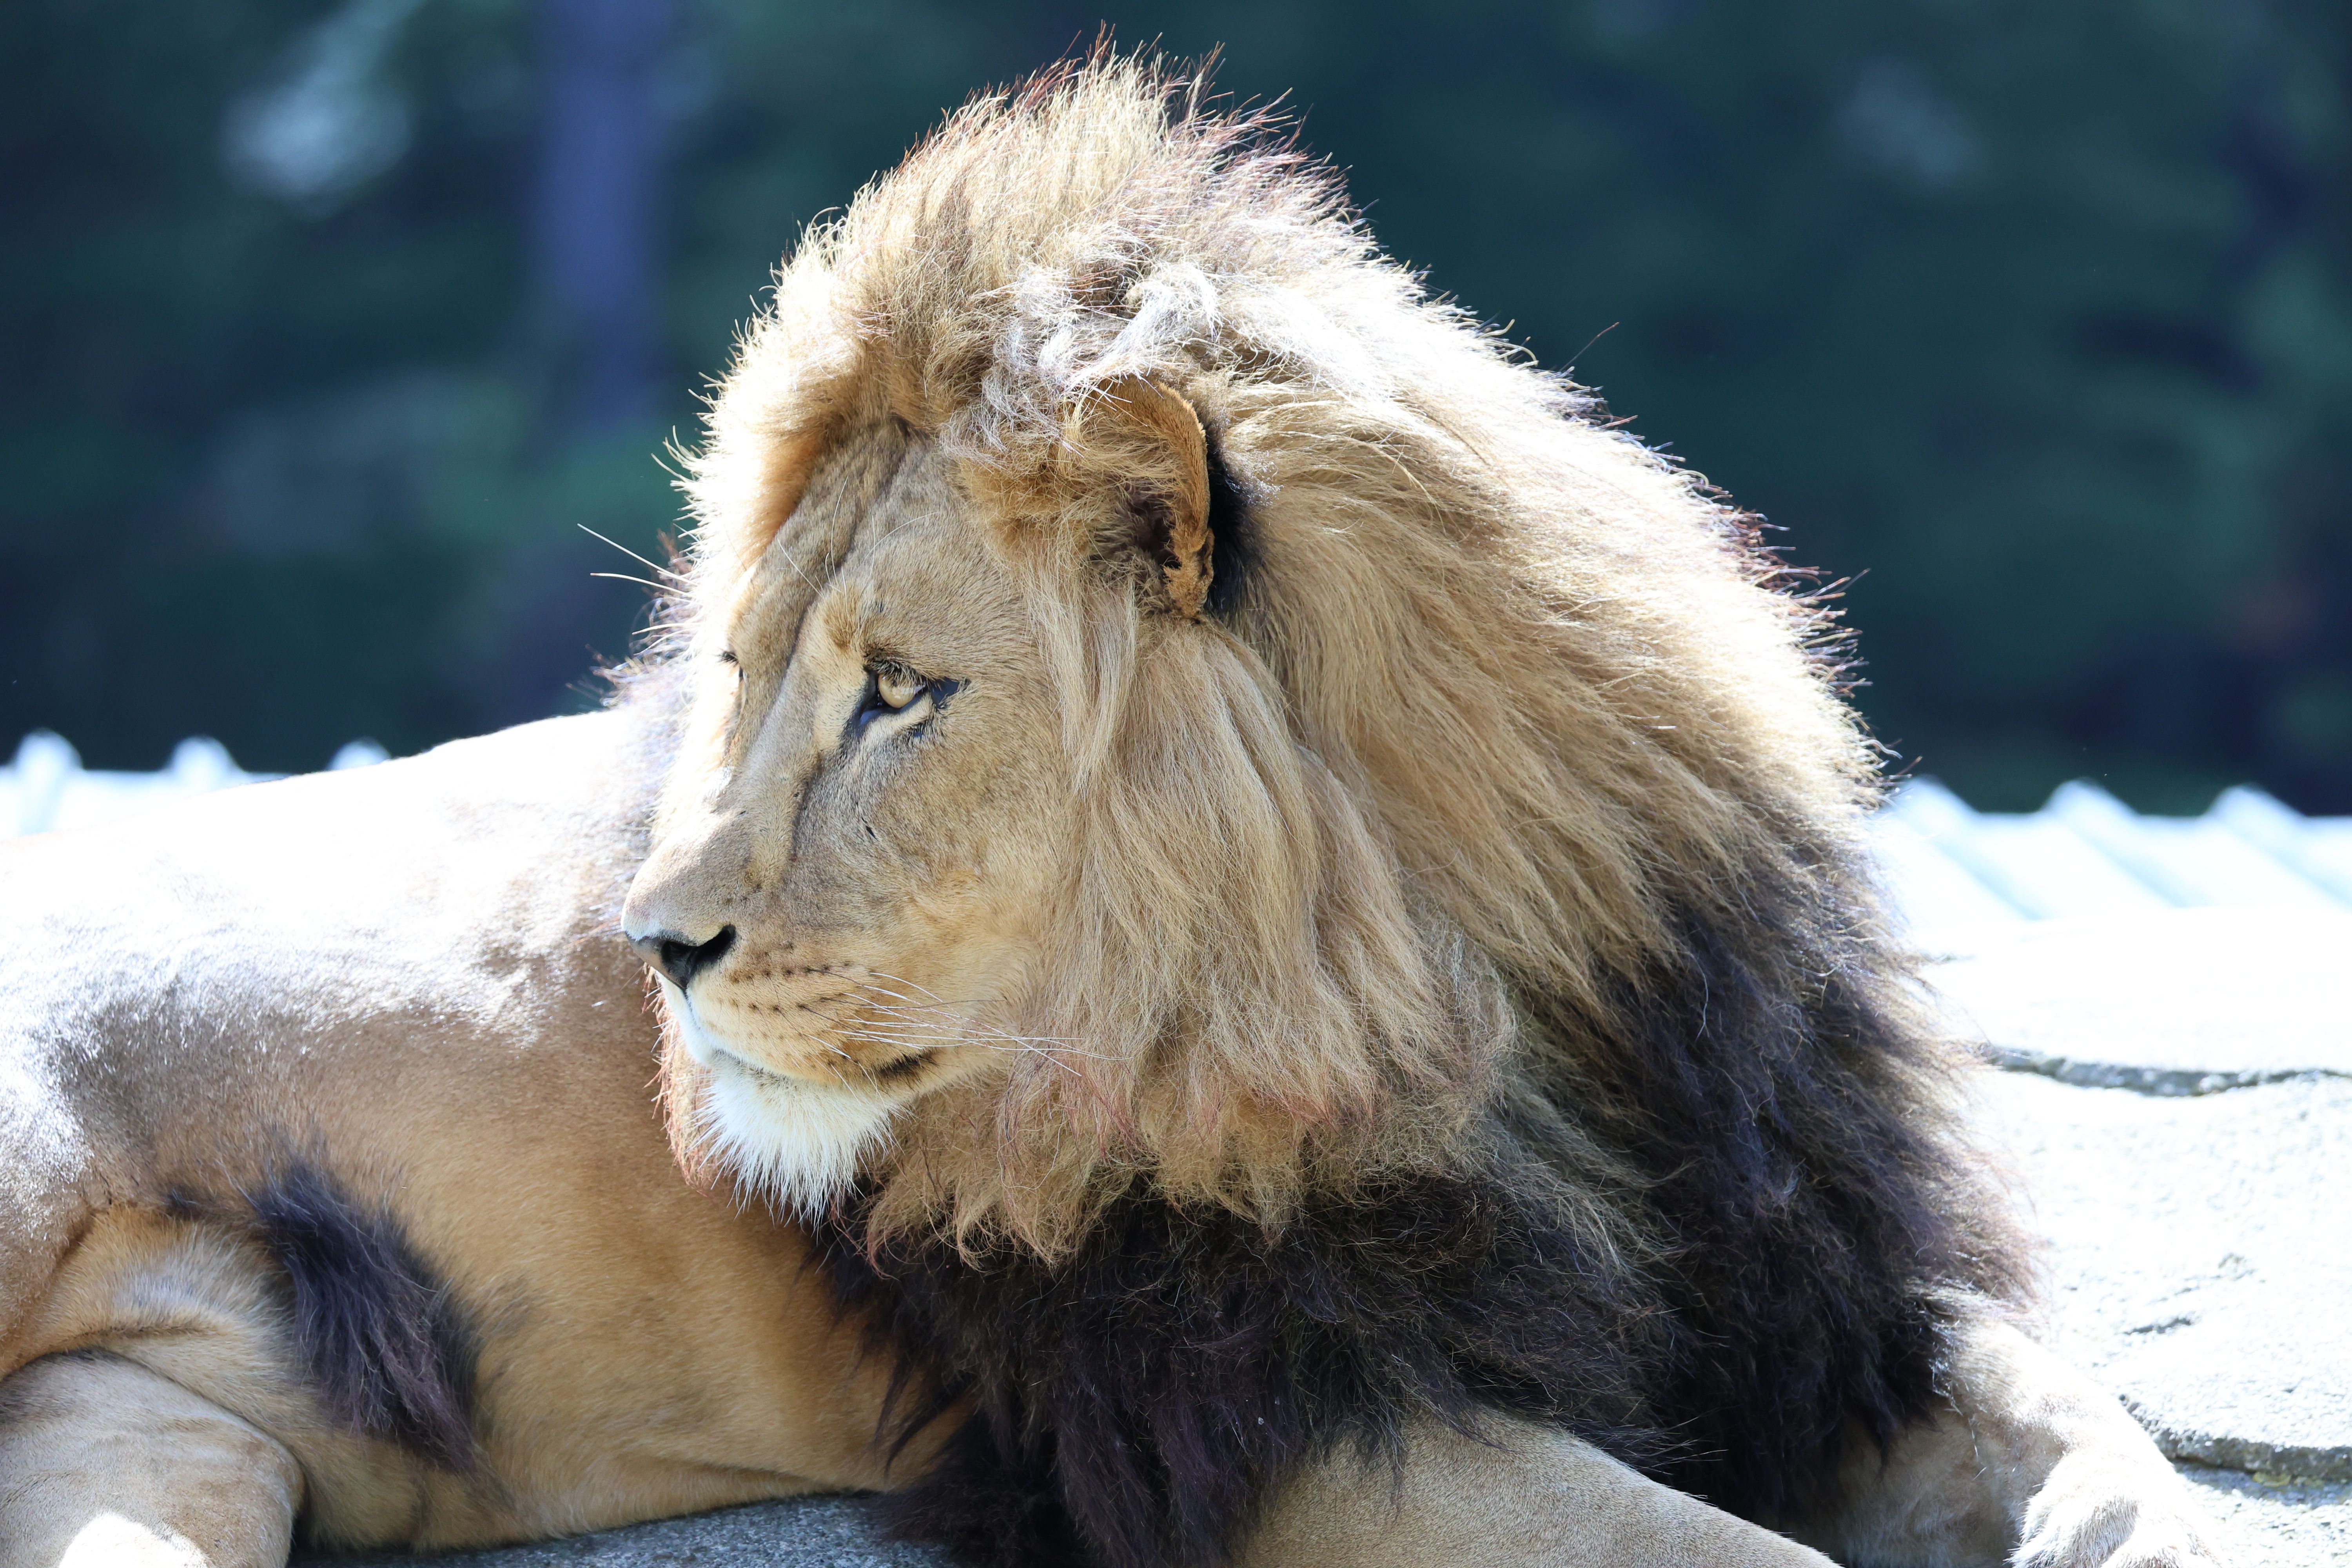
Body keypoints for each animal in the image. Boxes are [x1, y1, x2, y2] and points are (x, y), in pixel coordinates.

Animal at [0, 56, 2222, 1568]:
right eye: (743, 675)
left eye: (900, 693)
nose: (657, 946)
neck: (1472, 1014)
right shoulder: (1275, 1420)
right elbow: (1739, 1546)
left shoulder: (1823, 1290)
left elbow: (2106, 1444)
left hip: (162, 1438)